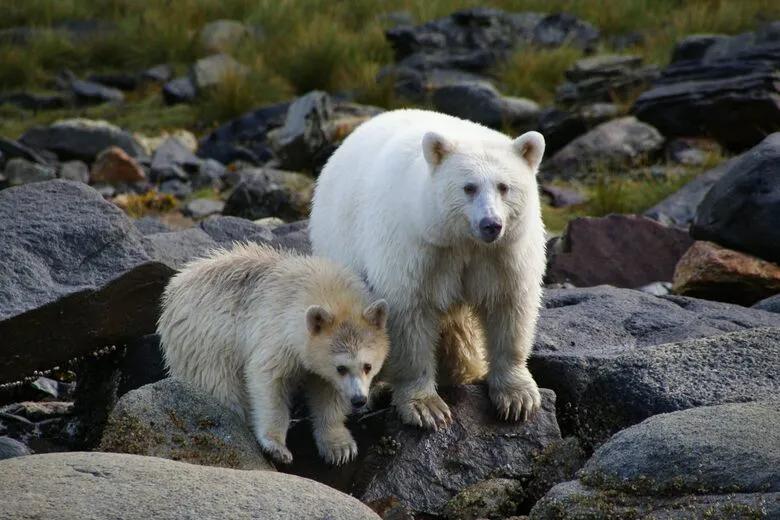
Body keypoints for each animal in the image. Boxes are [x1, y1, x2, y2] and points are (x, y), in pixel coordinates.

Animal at [157, 242, 389, 465]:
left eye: (368, 366)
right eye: (341, 368)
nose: (359, 400)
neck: (320, 286)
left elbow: (327, 392)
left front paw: (340, 447)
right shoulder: (278, 331)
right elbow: (269, 379)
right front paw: (276, 447)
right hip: (205, 342)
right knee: (221, 385)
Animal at [309, 109, 546, 430]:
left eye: (504, 187)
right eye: (469, 187)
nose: (491, 224)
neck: (462, 241)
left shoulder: (503, 253)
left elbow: (509, 307)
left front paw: (518, 398)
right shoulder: (417, 247)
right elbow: (409, 313)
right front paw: (426, 407)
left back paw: (465, 369)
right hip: (340, 243)